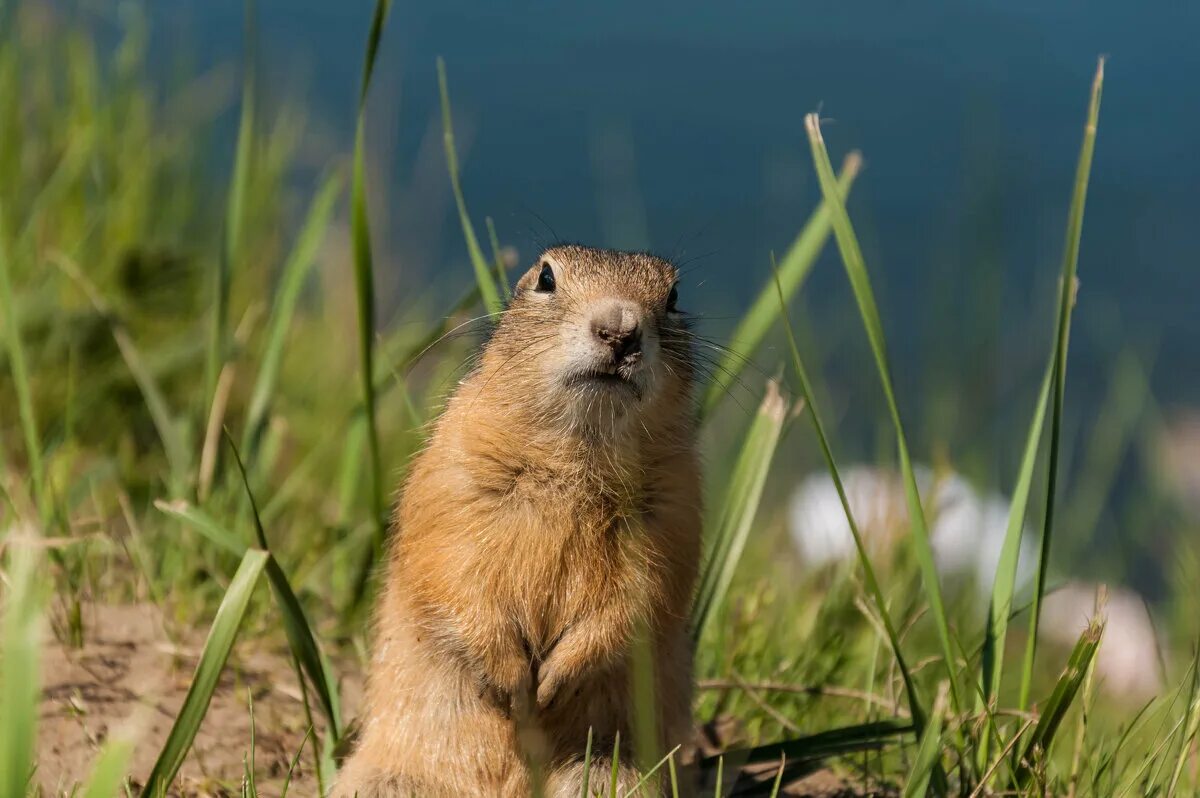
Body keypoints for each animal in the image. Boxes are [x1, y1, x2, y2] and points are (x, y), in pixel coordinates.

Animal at [333, 246, 700, 792]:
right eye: (546, 278)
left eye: (674, 297)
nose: (620, 329)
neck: (576, 457)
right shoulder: (454, 468)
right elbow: (450, 566)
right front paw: (513, 682)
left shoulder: (677, 507)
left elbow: (643, 597)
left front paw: (554, 681)